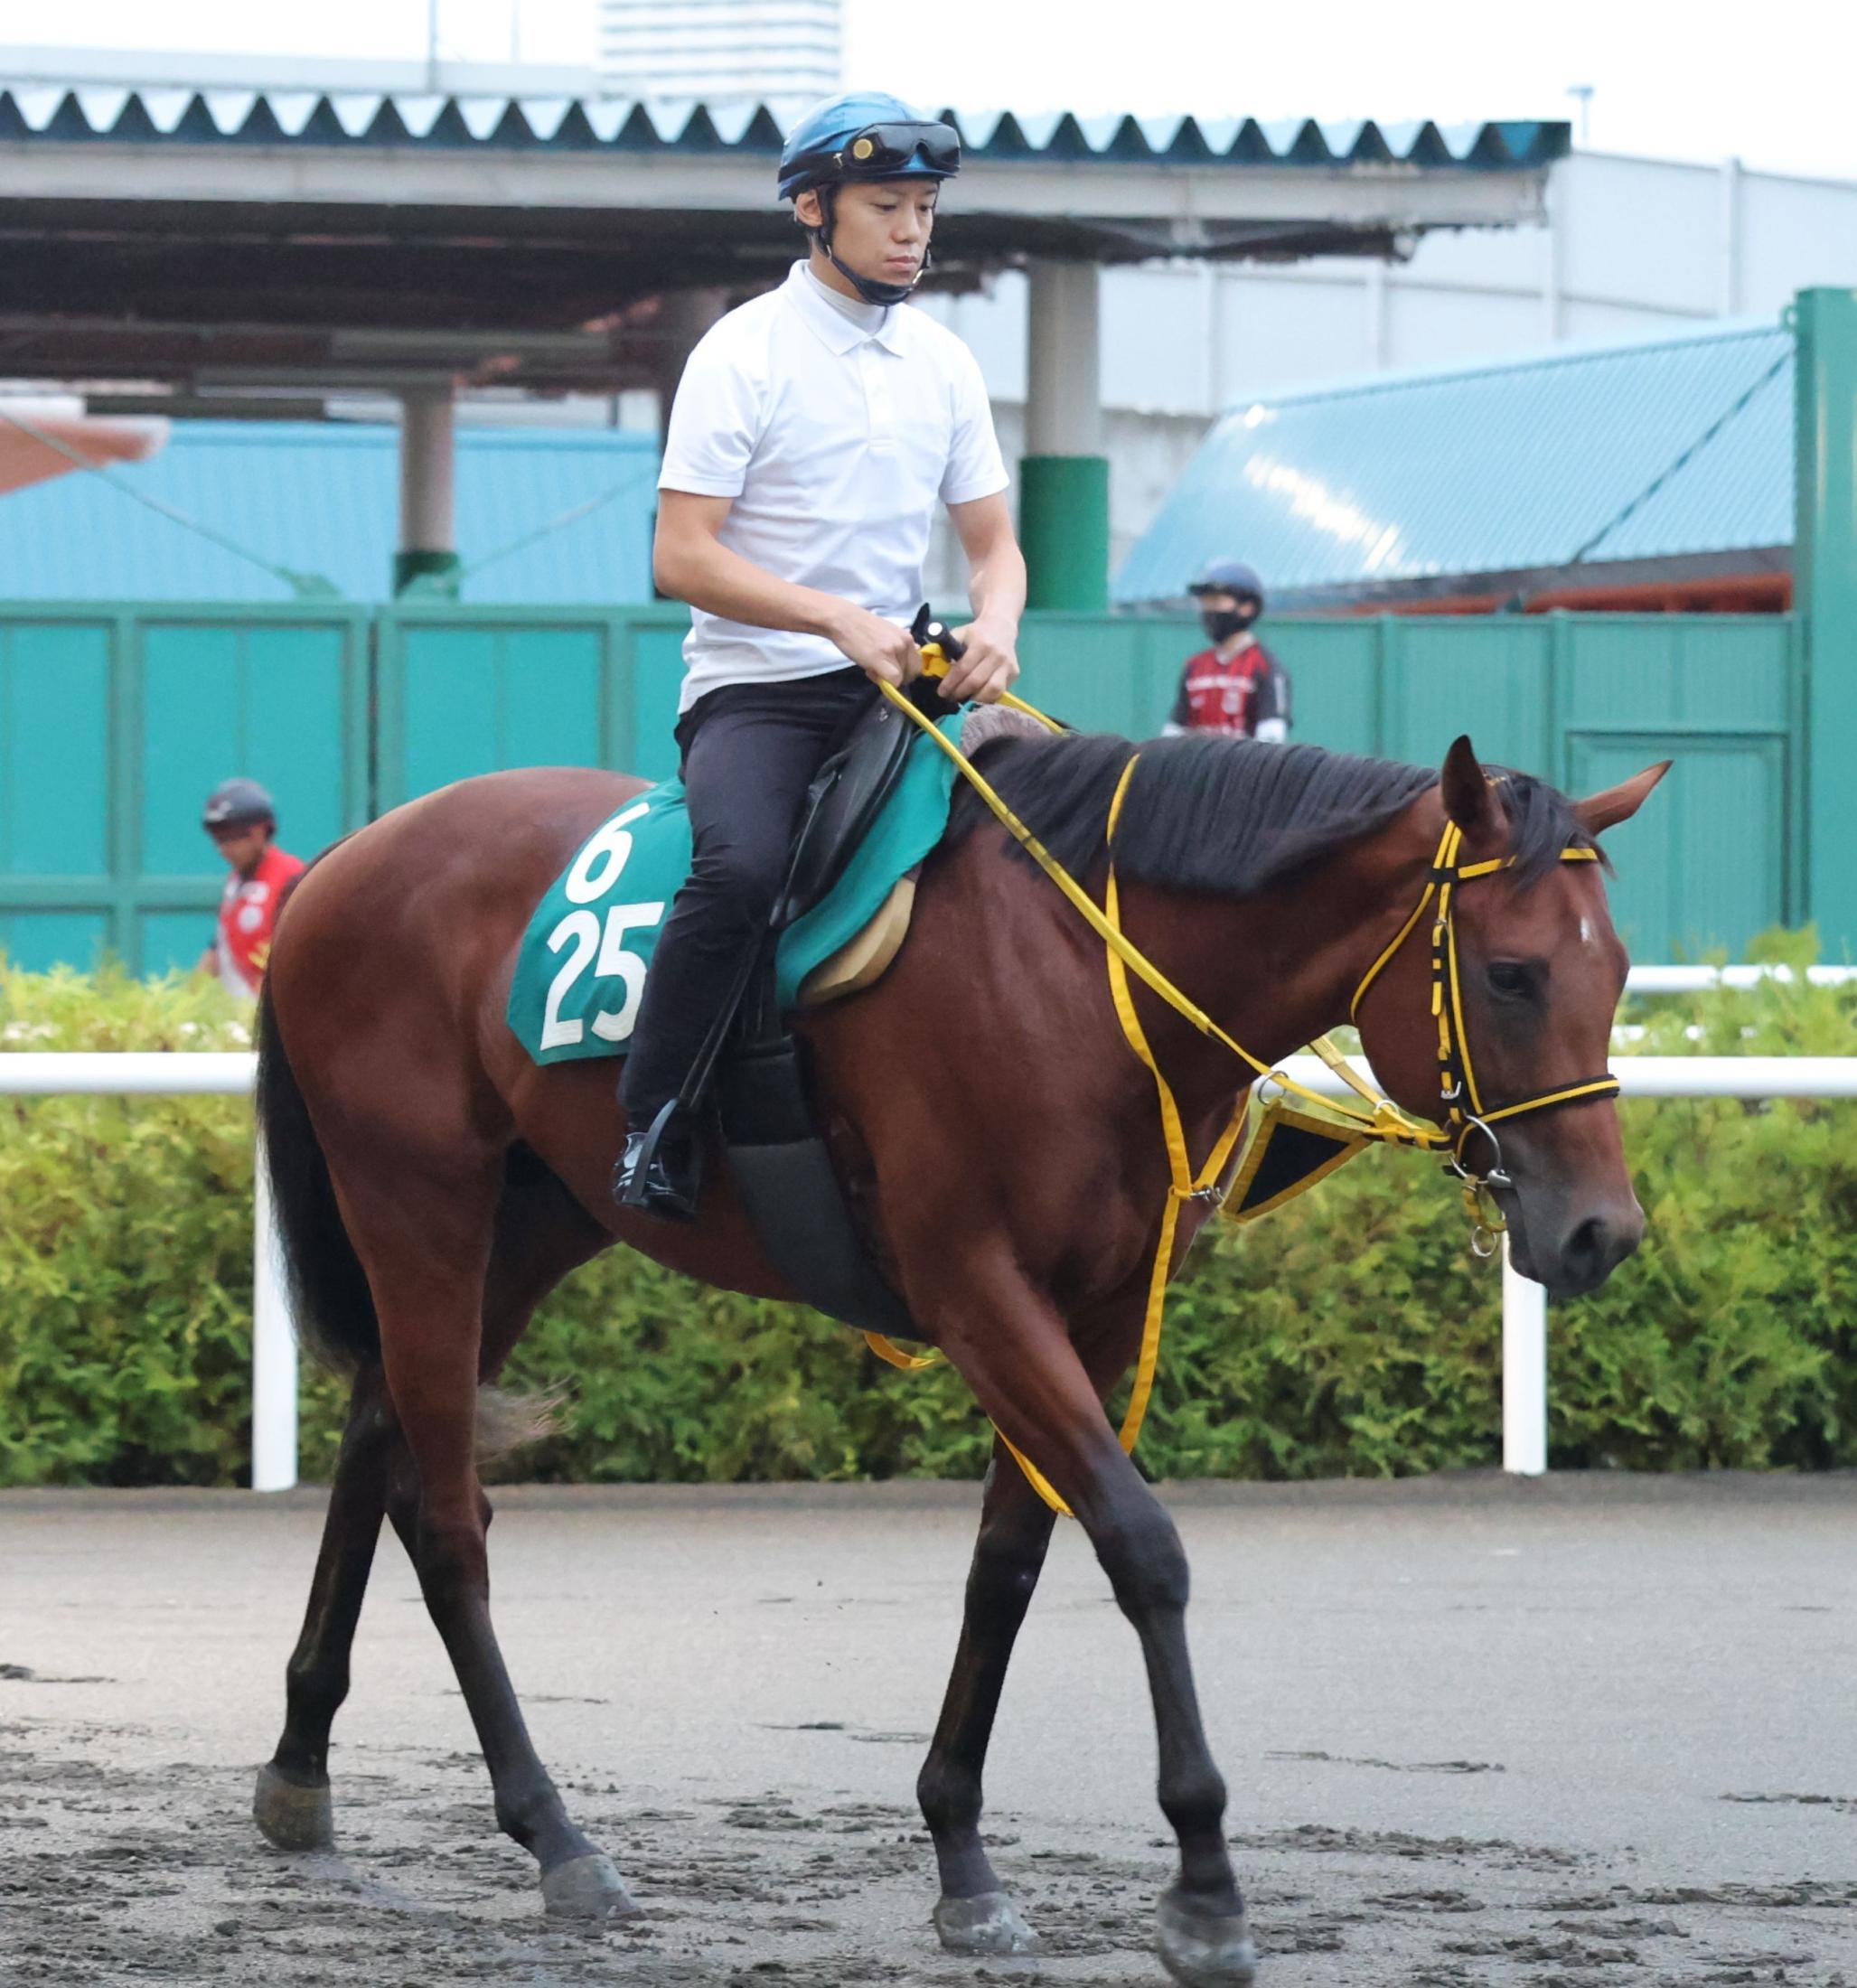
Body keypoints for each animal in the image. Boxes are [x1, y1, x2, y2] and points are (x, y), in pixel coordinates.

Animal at [250, 719, 1665, 1986]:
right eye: (1511, 974)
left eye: (1616, 976)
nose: (1600, 1232)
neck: (1084, 976)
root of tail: (342, 861)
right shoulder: (979, 1292)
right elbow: (1142, 1548)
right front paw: (1204, 1886)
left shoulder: (1095, 1311)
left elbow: (1011, 1565)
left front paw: (963, 1858)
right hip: (419, 1199)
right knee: (447, 1518)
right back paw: (553, 1835)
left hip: (532, 1219)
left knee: (378, 1437)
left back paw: (298, 1764)